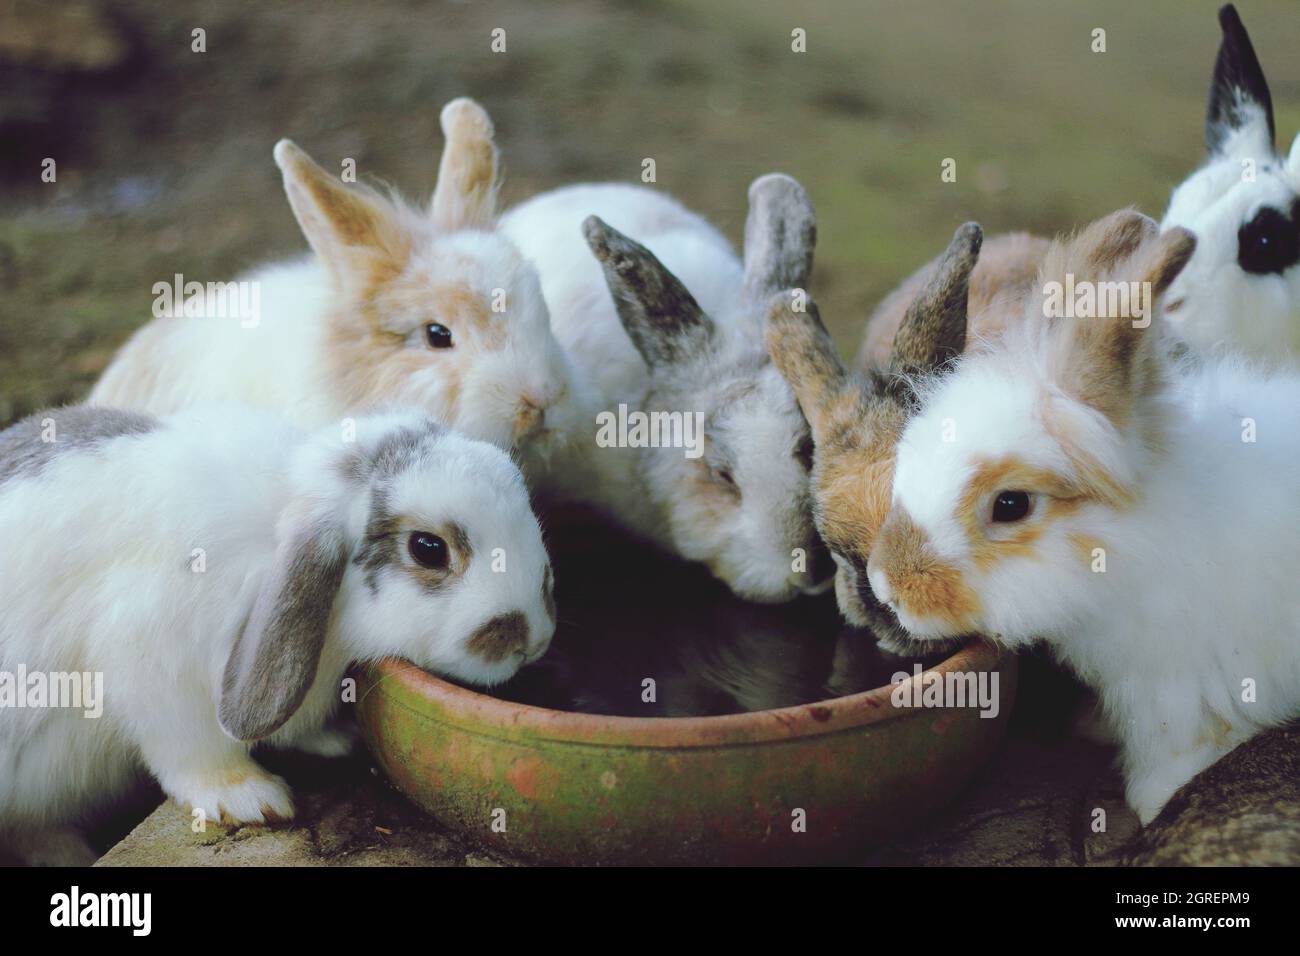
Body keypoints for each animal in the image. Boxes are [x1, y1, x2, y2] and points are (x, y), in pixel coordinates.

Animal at [0, 402, 555, 865]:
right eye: (428, 548)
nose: (533, 640)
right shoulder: (152, 662)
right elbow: (193, 748)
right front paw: (249, 798)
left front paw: (335, 739)